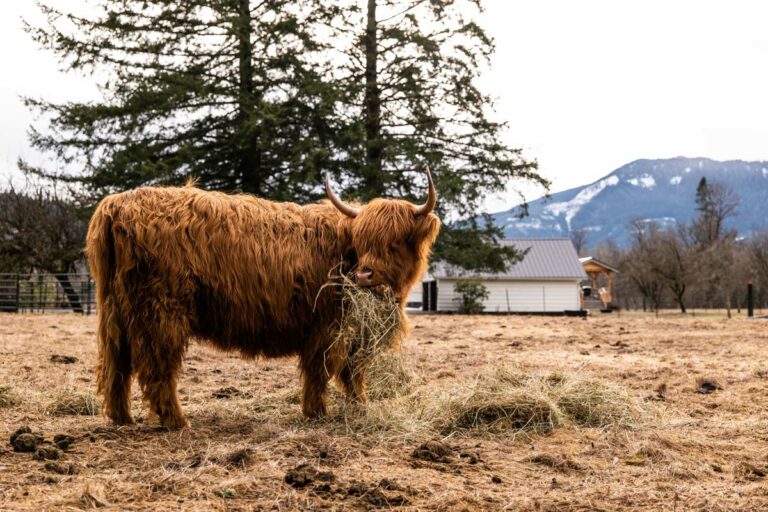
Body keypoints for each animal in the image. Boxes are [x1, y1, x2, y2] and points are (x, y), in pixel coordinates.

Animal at [86, 170, 440, 428]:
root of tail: (118, 202)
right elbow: (325, 370)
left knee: (115, 364)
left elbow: (351, 372)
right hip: (161, 312)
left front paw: (358, 406)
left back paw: (122, 418)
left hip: (116, 312)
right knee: (156, 367)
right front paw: (318, 412)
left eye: (395, 243)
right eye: (363, 240)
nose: (364, 276)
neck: (344, 254)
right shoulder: (329, 328)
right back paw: (177, 421)